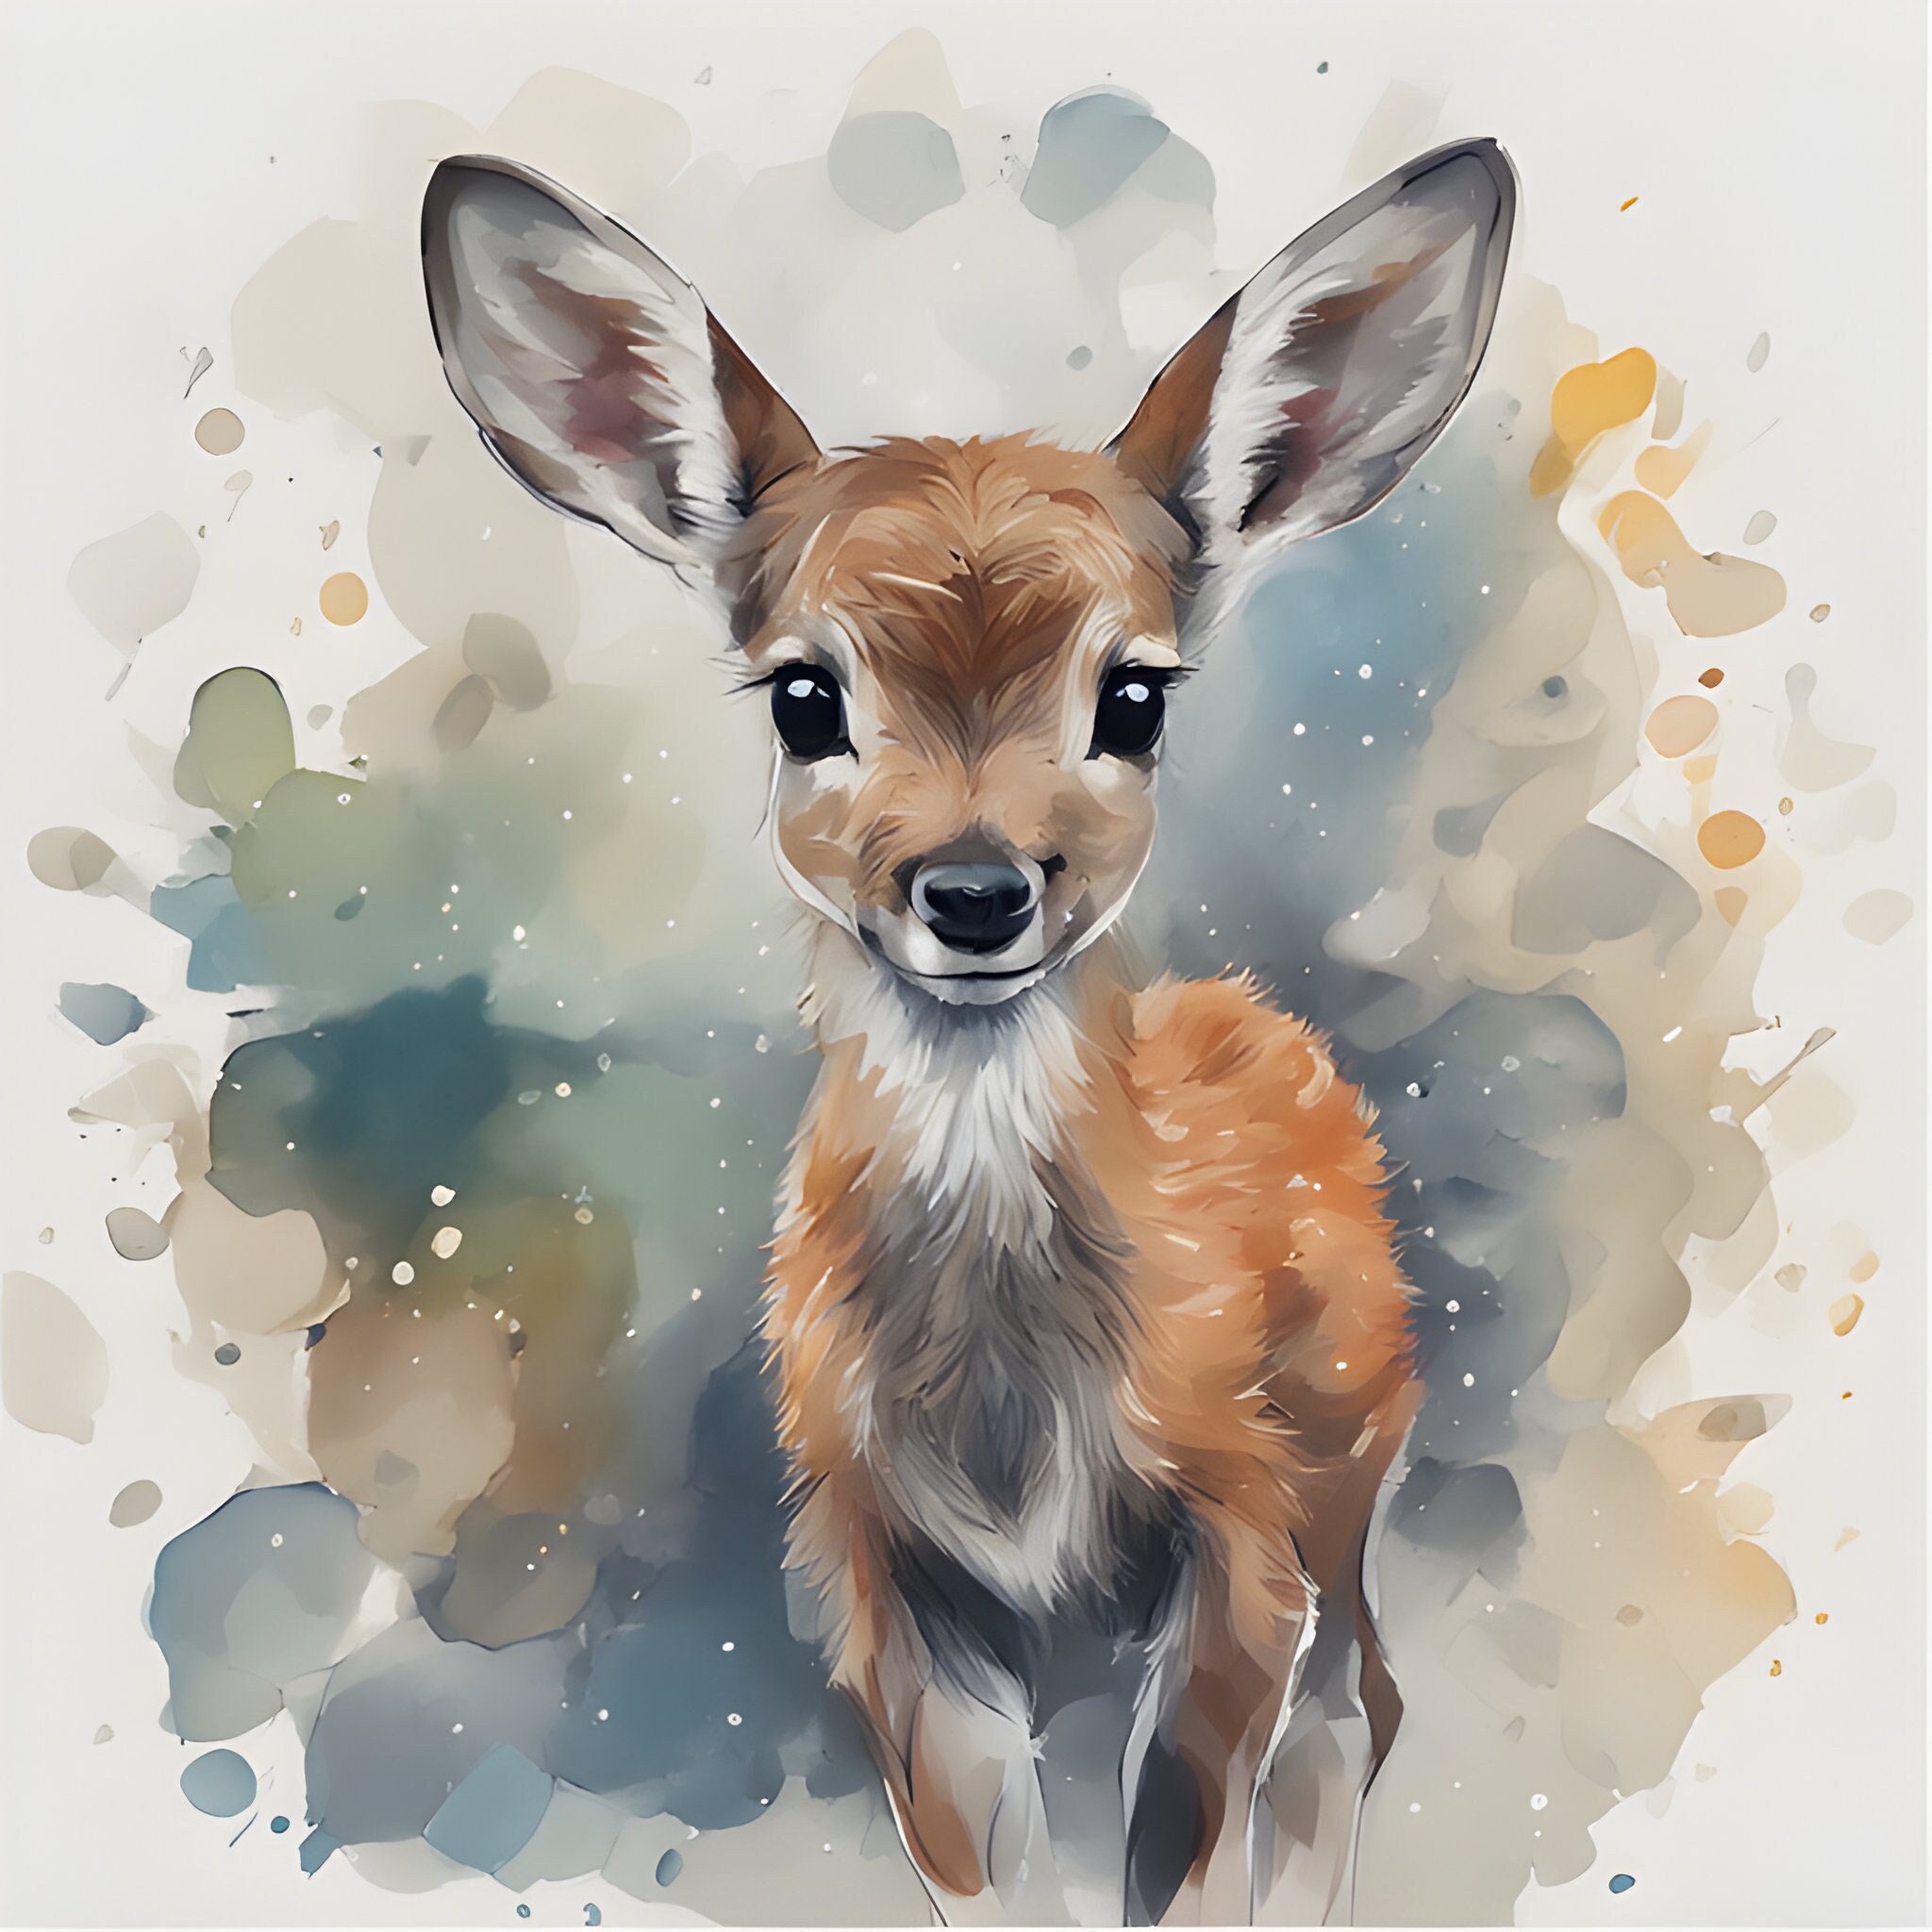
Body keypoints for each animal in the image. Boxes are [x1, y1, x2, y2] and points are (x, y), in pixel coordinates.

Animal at [422, 133, 1514, 1926]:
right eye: (804, 694)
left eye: (1132, 694)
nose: (978, 889)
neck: (1012, 1421)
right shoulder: (881, 1569)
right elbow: (985, 1861)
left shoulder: (1242, 1525)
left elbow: (1189, 1849)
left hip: (1352, 1456)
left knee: (1357, 1711)